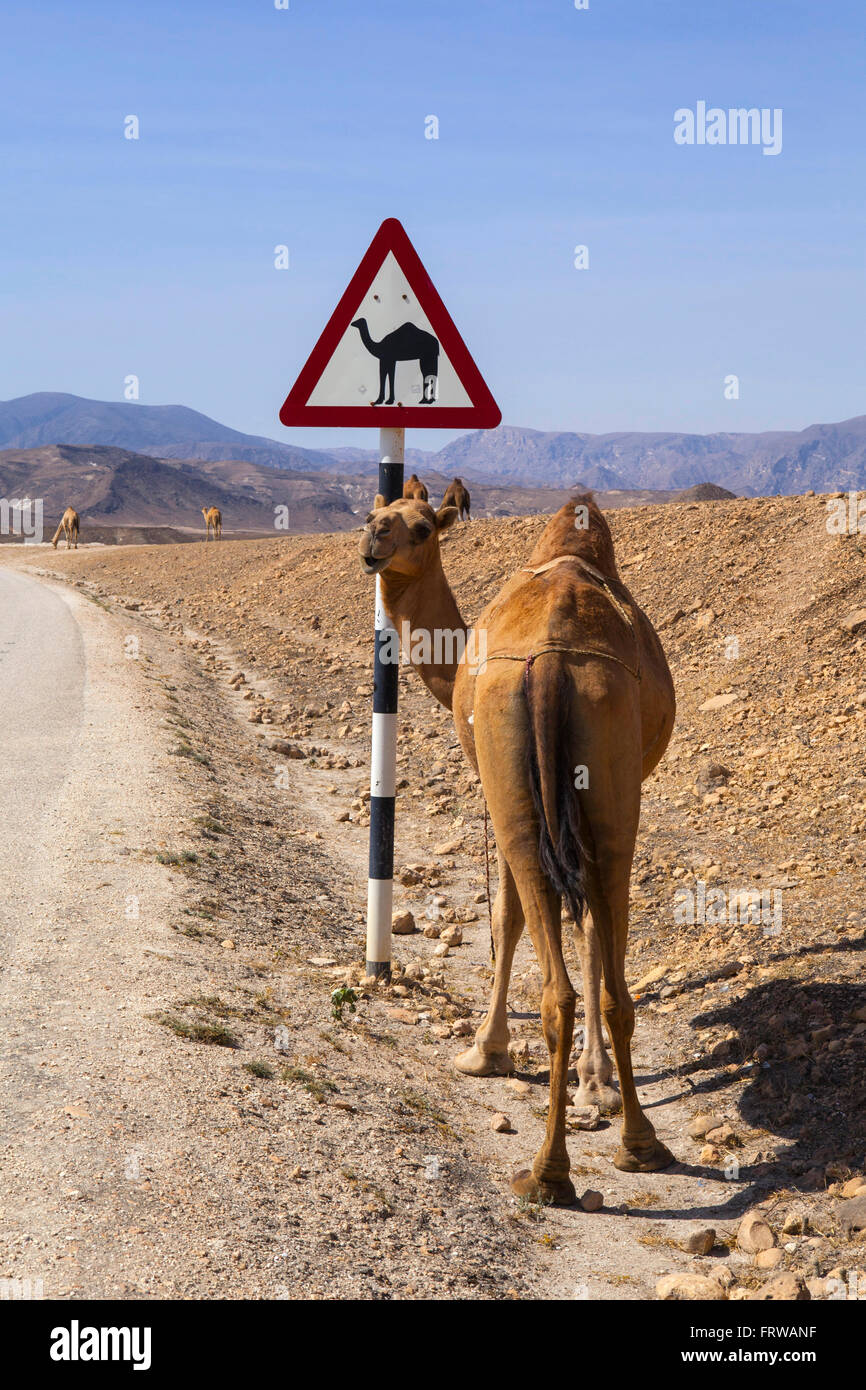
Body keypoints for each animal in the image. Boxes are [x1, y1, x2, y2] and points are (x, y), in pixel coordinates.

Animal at [359, 493, 676, 1203]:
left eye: (422, 526)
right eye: (375, 515)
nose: (373, 541)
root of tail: (554, 659)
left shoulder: (491, 790)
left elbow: (503, 919)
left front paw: (488, 1050)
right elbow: (585, 933)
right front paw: (596, 1085)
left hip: (515, 796)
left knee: (553, 970)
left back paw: (546, 1172)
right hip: (611, 794)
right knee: (608, 976)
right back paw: (638, 1145)